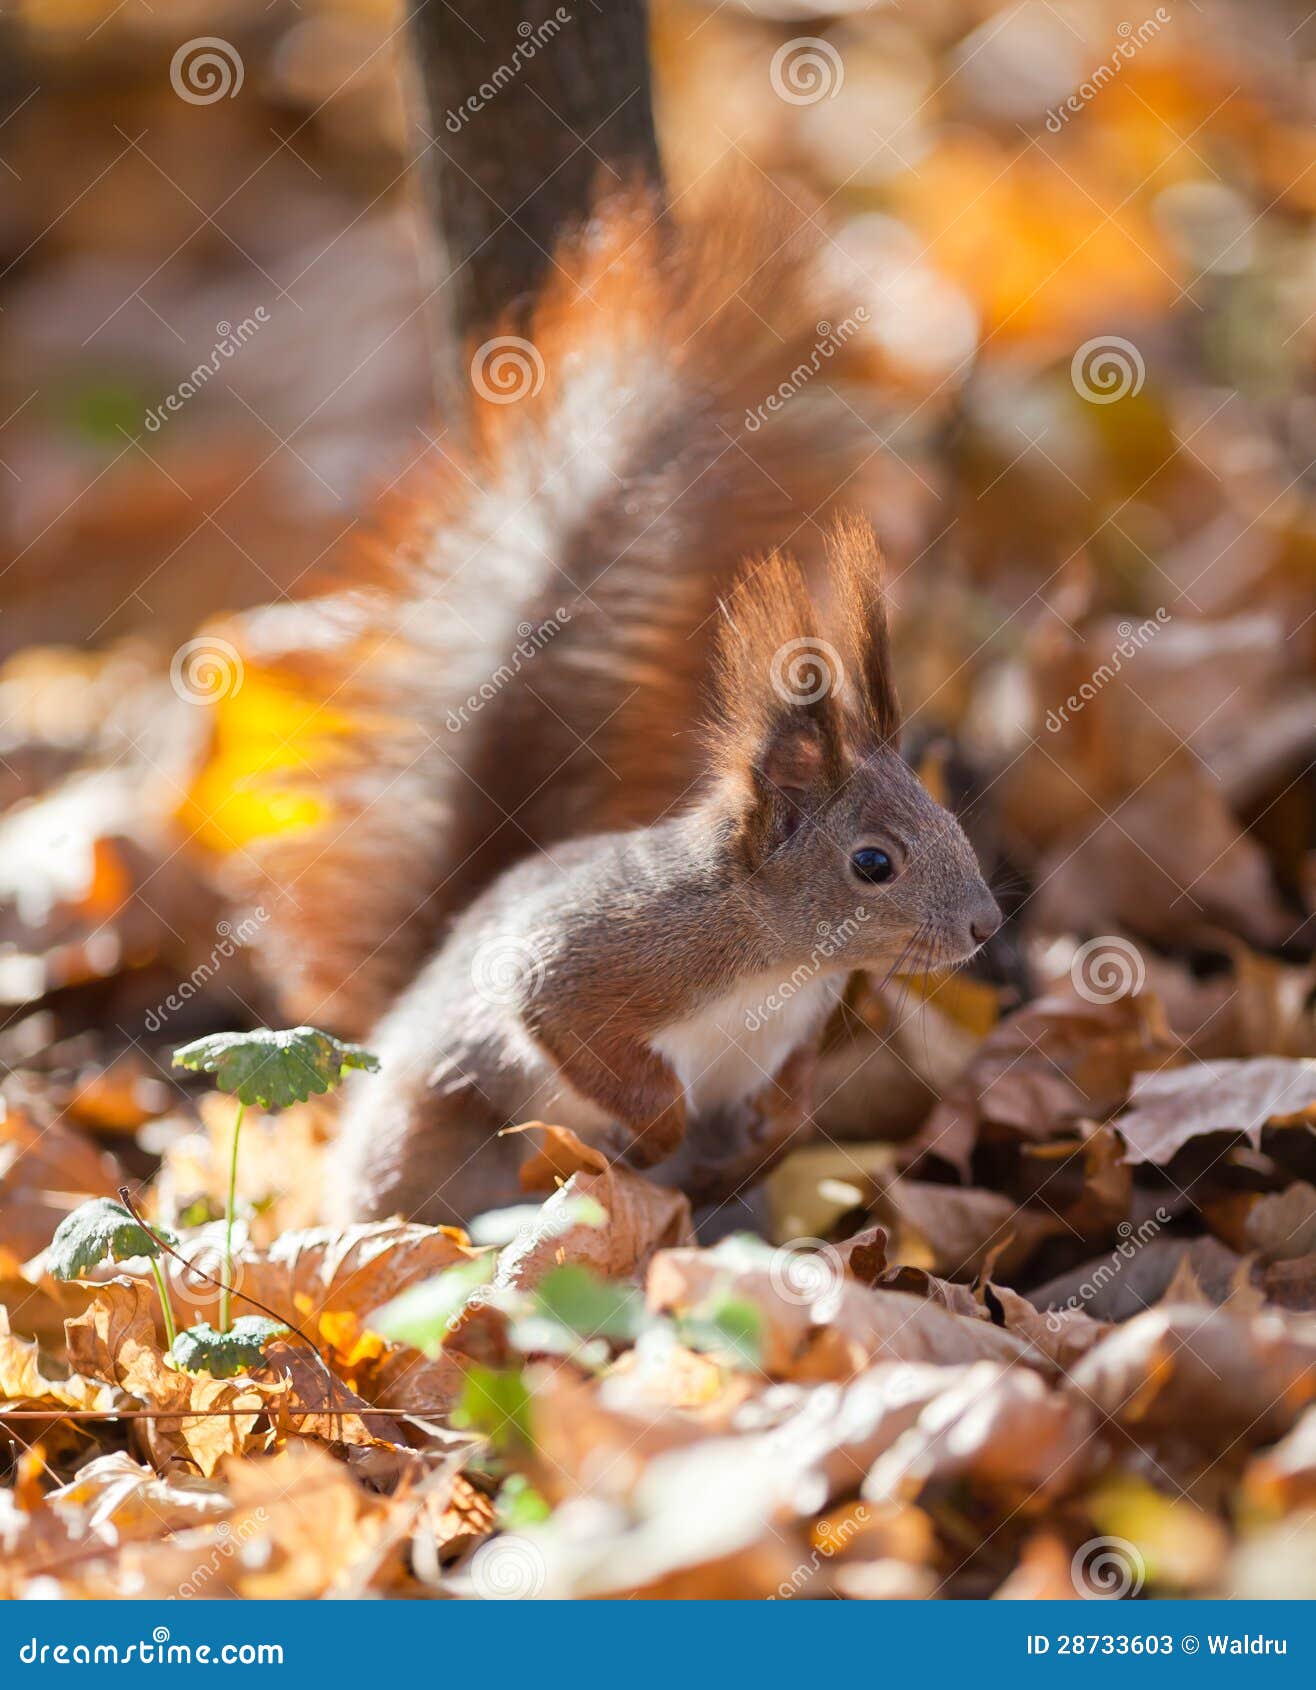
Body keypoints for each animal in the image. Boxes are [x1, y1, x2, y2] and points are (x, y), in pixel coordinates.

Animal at [234, 11, 1002, 1226]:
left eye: (947, 816)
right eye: (873, 863)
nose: (984, 929)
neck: (779, 958)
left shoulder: (790, 1026)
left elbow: (787, 1084)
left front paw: (773, 1123)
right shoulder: (596, 957)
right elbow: (569, 1024)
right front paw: (663, 1123)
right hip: (429, 1141)